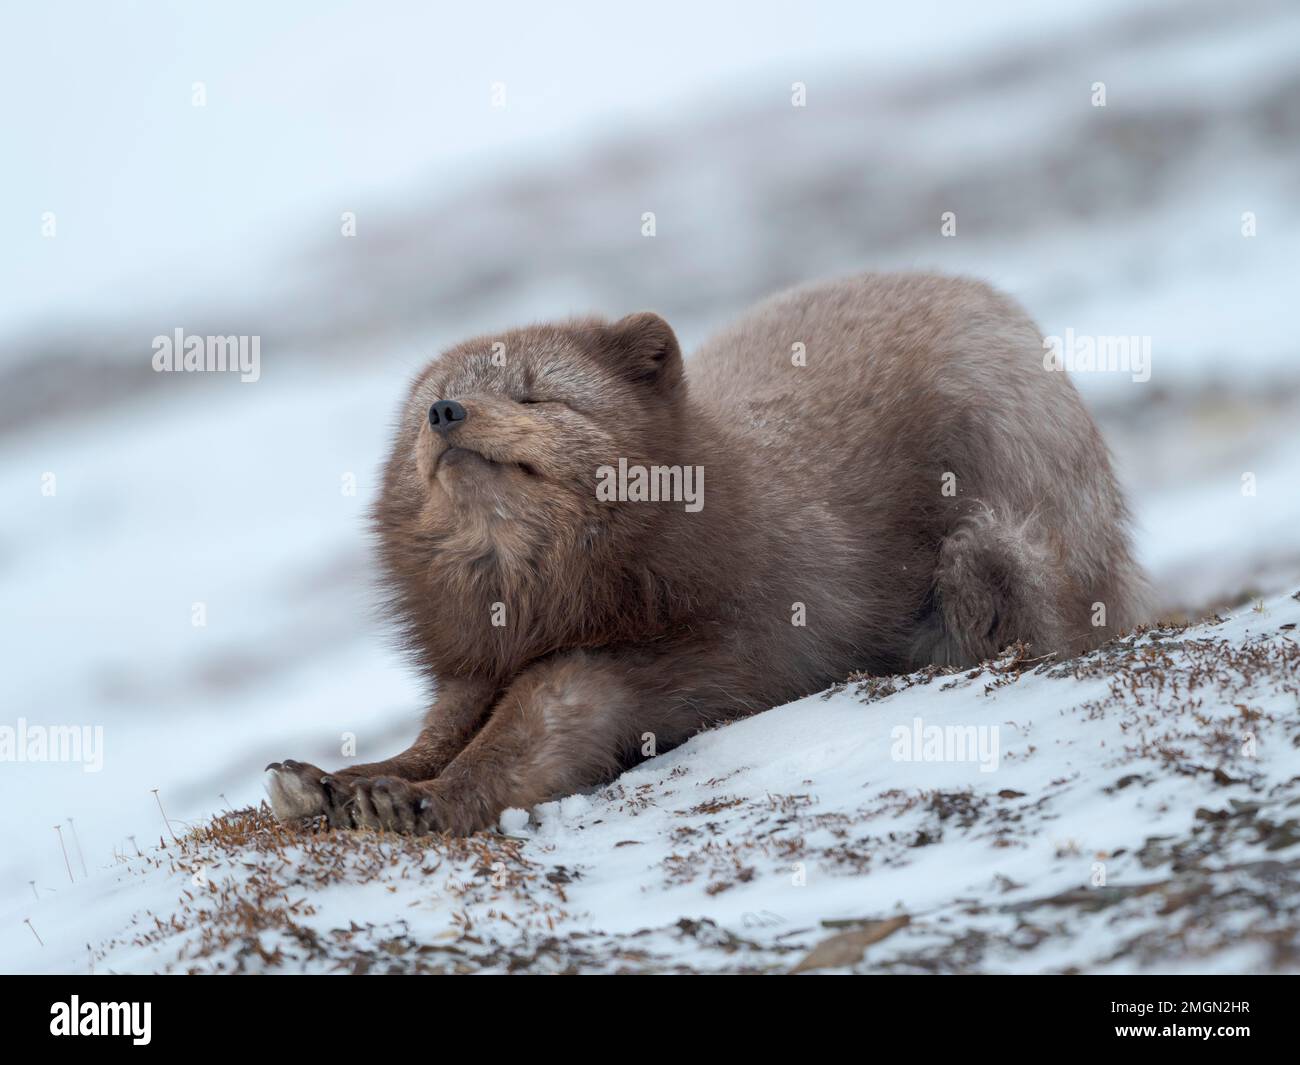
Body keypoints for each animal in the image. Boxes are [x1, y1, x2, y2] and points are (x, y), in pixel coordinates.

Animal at [266, 272, 1148, 835]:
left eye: (534, 393)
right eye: (427, 407)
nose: (446, 412)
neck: (544, 601)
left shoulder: (694, 655)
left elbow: (535, 724)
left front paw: (418, 801)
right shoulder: (474, 662)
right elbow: (438, 733)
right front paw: (333, 781)